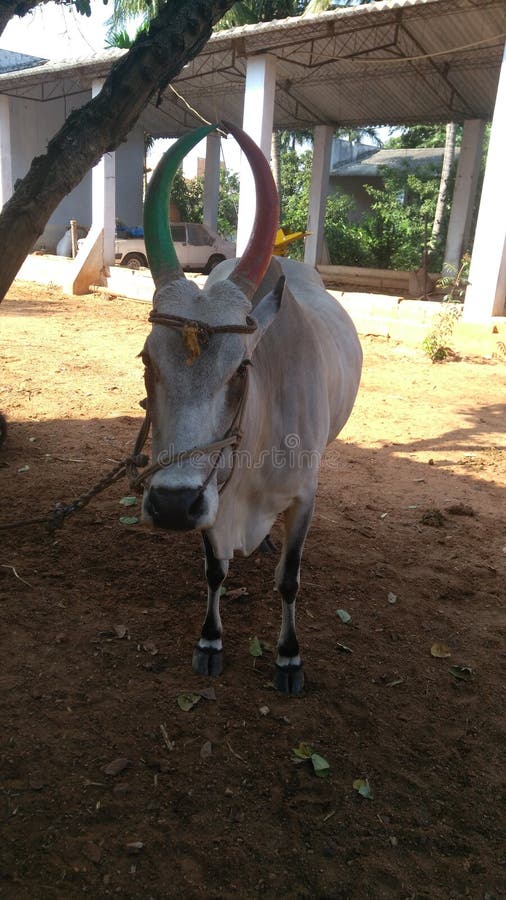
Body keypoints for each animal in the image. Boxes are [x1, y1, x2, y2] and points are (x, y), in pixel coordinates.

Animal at [139, 121, 362, 693]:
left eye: (241, 368)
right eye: (147, 359)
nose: (172, 505)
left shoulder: (304, 497)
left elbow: (289, 579)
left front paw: (288, 655)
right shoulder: (212, 493)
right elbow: (215, 570)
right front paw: (210, 641)